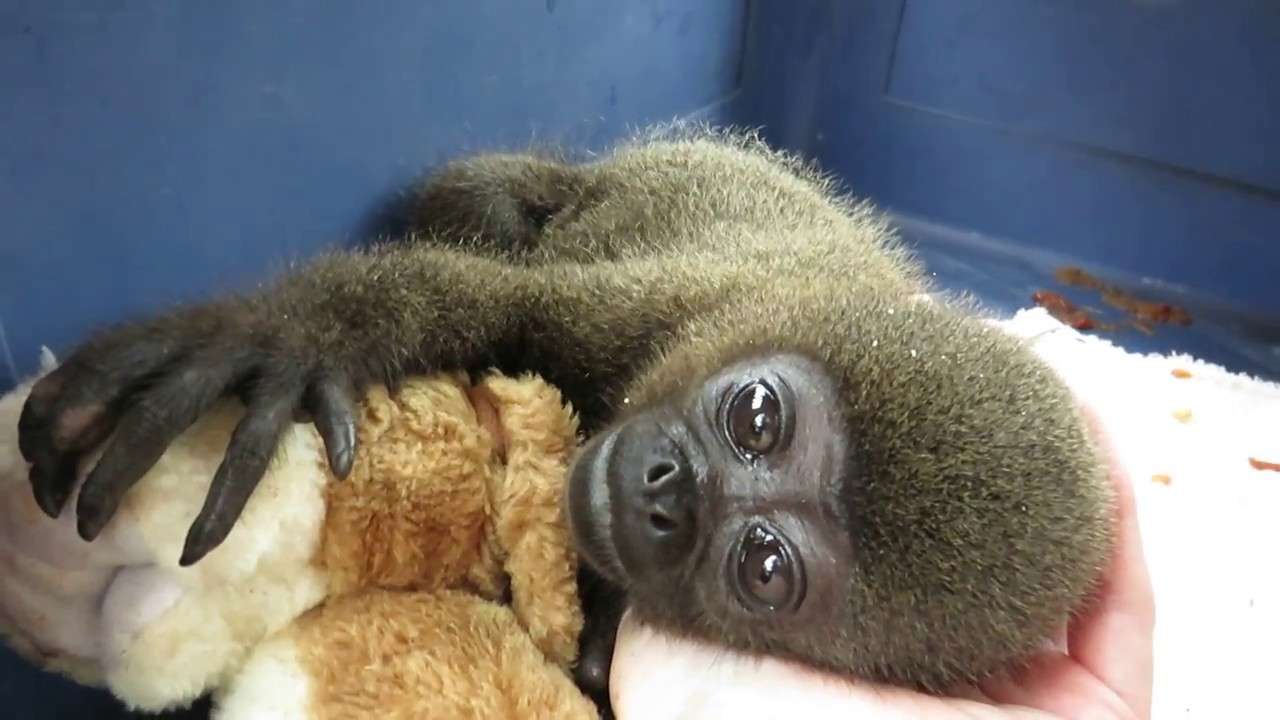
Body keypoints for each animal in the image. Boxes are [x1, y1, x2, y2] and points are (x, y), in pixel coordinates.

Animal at [17, 125, 1115, 713]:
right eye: (756, 415)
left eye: (764, 567)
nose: (668, 489)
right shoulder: (673, 306)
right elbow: (493, 304)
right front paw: (280, 336)